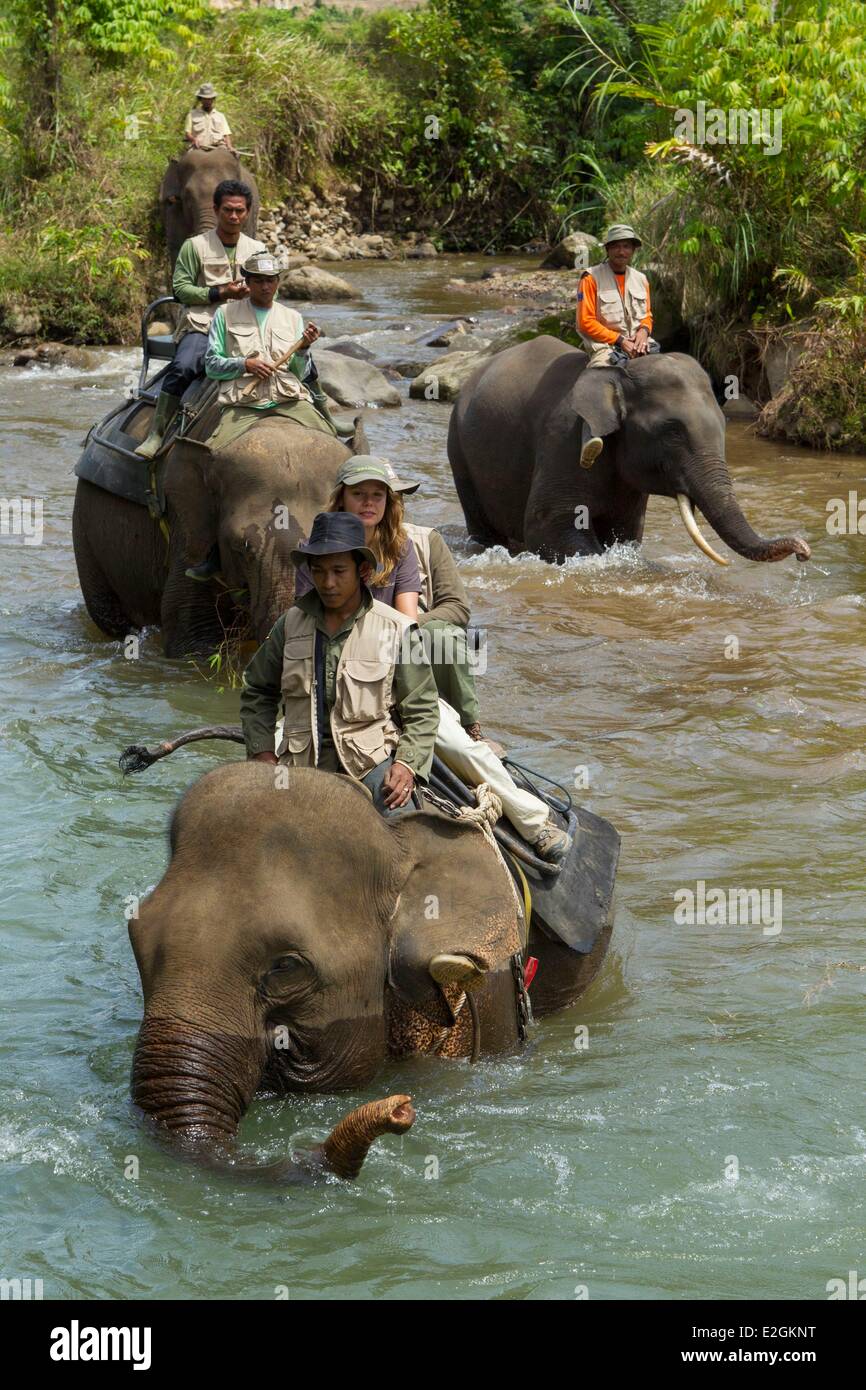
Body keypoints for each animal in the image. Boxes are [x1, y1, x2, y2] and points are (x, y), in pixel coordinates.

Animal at [447, 336, 811, 567]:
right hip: (458, 449)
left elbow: (626, 533)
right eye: (672, 432)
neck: (619, 377)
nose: (804, 551)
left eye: (723, 425)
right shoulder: (564, 439)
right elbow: (547, 528)